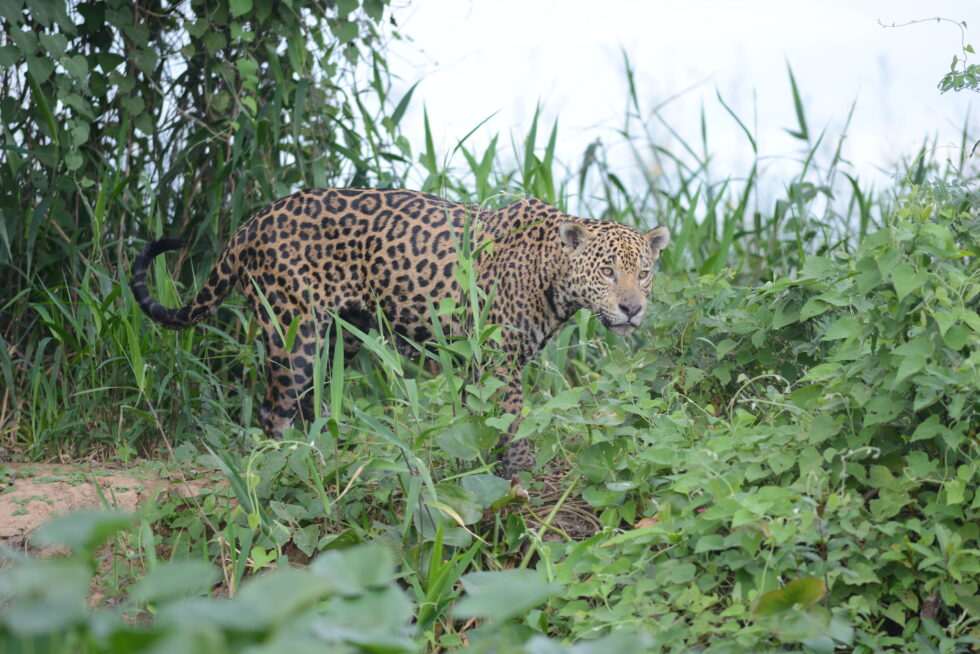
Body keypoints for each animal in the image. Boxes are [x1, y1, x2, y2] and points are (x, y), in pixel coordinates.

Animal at [129, 188, 670, 478]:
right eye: (607, 273)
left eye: (643, 272)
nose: (632, 309)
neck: (553, 275)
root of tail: (253, 221)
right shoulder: (500, 360)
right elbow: (511, 421)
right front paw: (520, 476)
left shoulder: (478, 361)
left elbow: (478, 418)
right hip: (292, 329)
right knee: (274, 409)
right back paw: (291, 464)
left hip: (341, 332)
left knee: (313, 400)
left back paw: (327, 452)